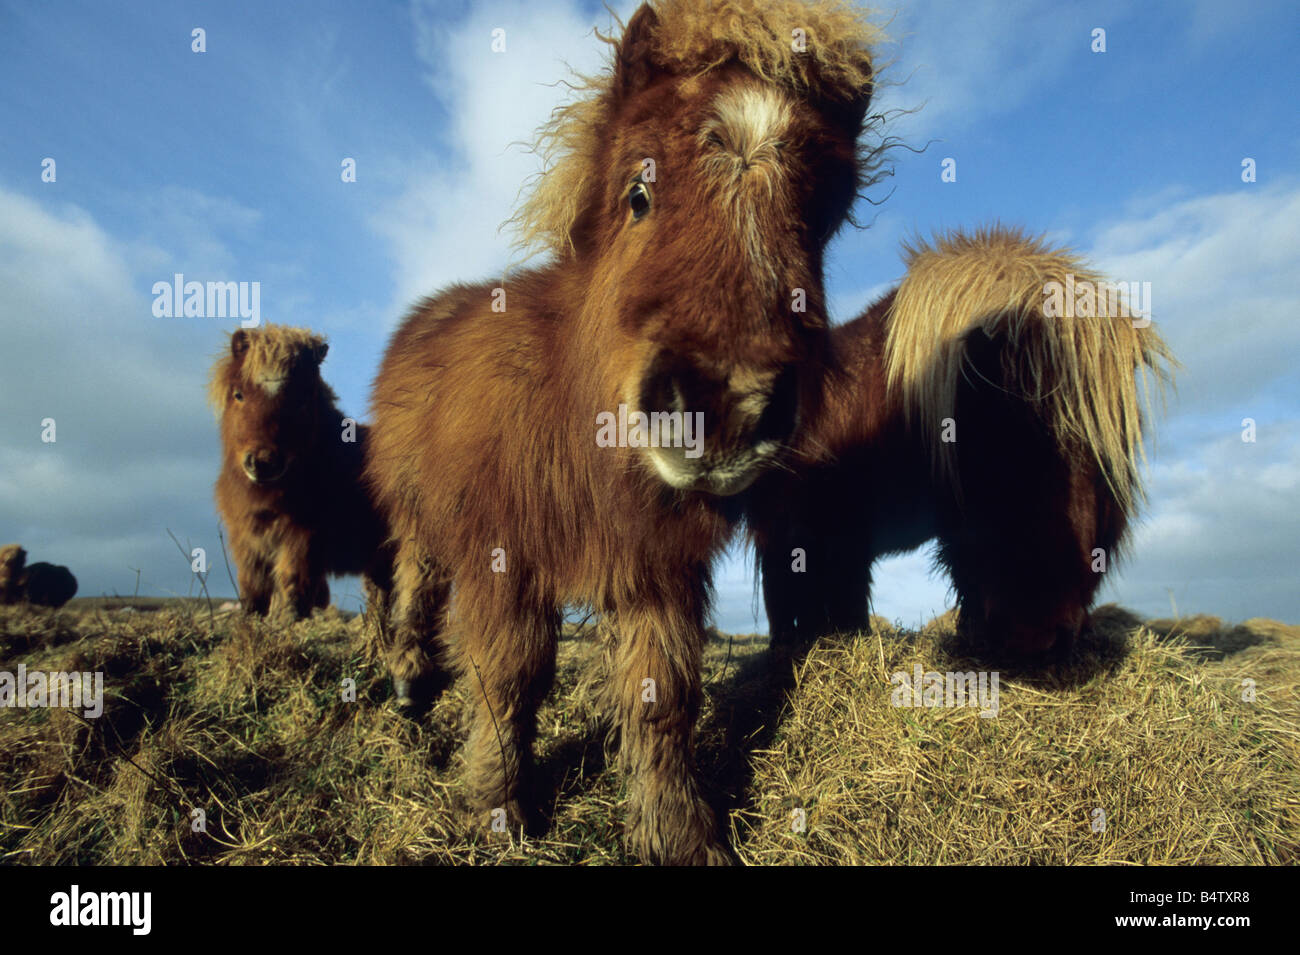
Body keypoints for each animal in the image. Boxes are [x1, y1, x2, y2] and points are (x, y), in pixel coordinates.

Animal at [209, 326, 392, 622]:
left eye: (301, 399)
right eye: (238, 394)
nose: (263, 462)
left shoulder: (303, 540)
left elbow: (293, 581)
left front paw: (291, 620)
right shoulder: (246, 541)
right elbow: (253, 588)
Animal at [365, 0, 883, 864]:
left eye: (819, 220)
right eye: (638, 193)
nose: (723, 405)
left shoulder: (655, 570)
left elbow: (662, 696)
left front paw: (677, 830)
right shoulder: (506, 558)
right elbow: (508, 680)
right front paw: (500, 807)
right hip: (420, 516)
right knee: (415, 578)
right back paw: (408, 679)